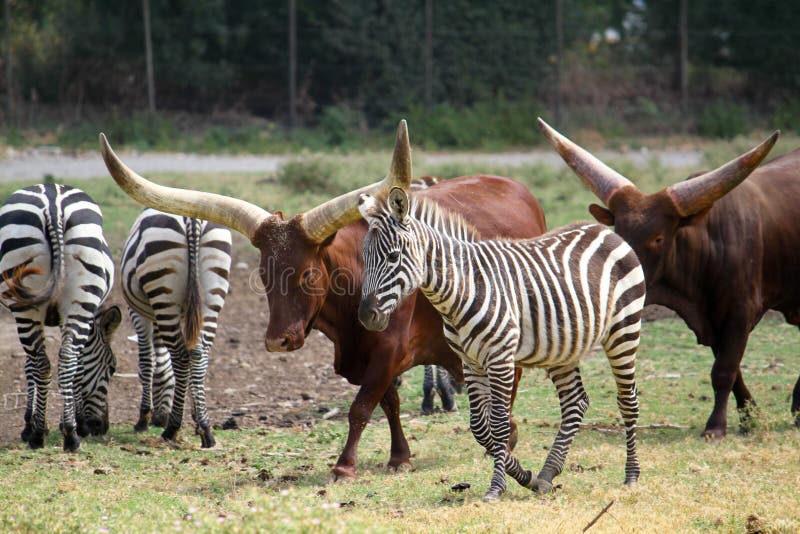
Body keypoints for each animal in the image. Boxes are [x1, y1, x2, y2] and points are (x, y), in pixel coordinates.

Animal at [0, 184, 121, 451]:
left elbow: (30, 365)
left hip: (24, 304)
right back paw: (70, 436)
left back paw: (40, 436)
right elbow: (73, 367)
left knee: (42, 362)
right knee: (65, 360)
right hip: (78, 299)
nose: (101, 427)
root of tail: (53, 203)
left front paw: (33, 424)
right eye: (112, 368)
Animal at [121, 208, 231, 448]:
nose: (159, 419)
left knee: (180, 357)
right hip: (211, 296)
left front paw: (143, 418)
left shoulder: (138, 314)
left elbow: (148, 362)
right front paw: (196, 418)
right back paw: (206, 430)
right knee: (199, 355)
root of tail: (191, 216)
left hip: (163, 289)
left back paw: (172, 429)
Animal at [357, 187, 644, 502]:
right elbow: (480, 427)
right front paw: (525, 476)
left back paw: (631, 475)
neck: (463, 289)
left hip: (624, 330)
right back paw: (546, 475)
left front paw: (496, 487)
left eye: (393, 256)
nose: (367, 316)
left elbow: (499, 424)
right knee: (575, 402)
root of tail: (604, 230)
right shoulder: (470, 362)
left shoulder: (500, 359)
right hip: (563, 346)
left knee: (628, 401)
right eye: (364, 257)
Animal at [537, 118, 795, 438]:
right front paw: (750, 417)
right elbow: (731, 369)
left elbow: (724, 370)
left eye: (658, 238)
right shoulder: (713, 319)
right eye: (618, 233)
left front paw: (716, 426)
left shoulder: (739, 311)